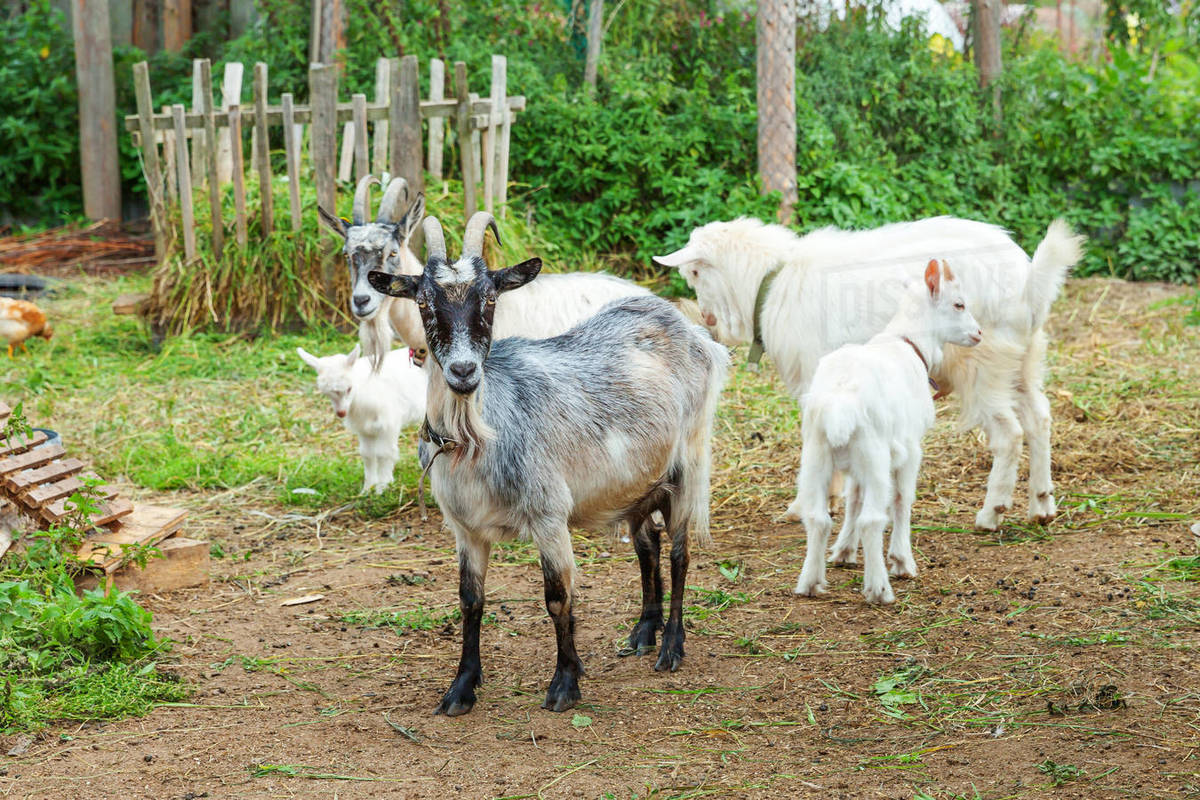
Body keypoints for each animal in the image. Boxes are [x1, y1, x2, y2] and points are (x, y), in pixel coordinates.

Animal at [297, 344, 427, 494]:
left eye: (349, 388)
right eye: (326, 392)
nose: (341, 413)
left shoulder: (389, 424)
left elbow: (384, 453)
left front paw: (382, 488)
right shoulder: (364, 428)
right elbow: (367, 454)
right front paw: (367, 489)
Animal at [367, 213, 728, 715]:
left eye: (491, 298)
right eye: (423, 301)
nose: (463, 371)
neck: (477, 438)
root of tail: (685, 326)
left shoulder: (549, 515)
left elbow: (558, 598)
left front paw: (565, 683)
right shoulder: (466, 528)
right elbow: (470, 601)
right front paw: (461, 689)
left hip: (687, 464)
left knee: (679, 552)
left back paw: (672, 646)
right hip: (636, 481)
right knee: (647, 545)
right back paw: (643, 631)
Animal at [655, 216, 1084, 532]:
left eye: (695, 273)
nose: (708, 320)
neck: (772, 281)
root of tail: (1029, 286)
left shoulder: (813, 376)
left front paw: (804, 505)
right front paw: (834, 497)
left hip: (982, 362)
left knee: (1009, 434)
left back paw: (991, 513)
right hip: (1024, 359)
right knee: (1040, 419)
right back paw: (1042, 505)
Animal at [793, 259, 982, 603]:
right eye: (959, 304)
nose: (978, 334)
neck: (908, 344)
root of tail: (840, 402)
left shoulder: (854, 466)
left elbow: (854, 498)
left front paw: (844, 551)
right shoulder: (910, 449)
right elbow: (902, 499)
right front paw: (902, 561)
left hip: (816, 454)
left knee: (817, 517)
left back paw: (810, 582)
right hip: (874, 454)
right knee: (873, 519)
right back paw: (879, 588)